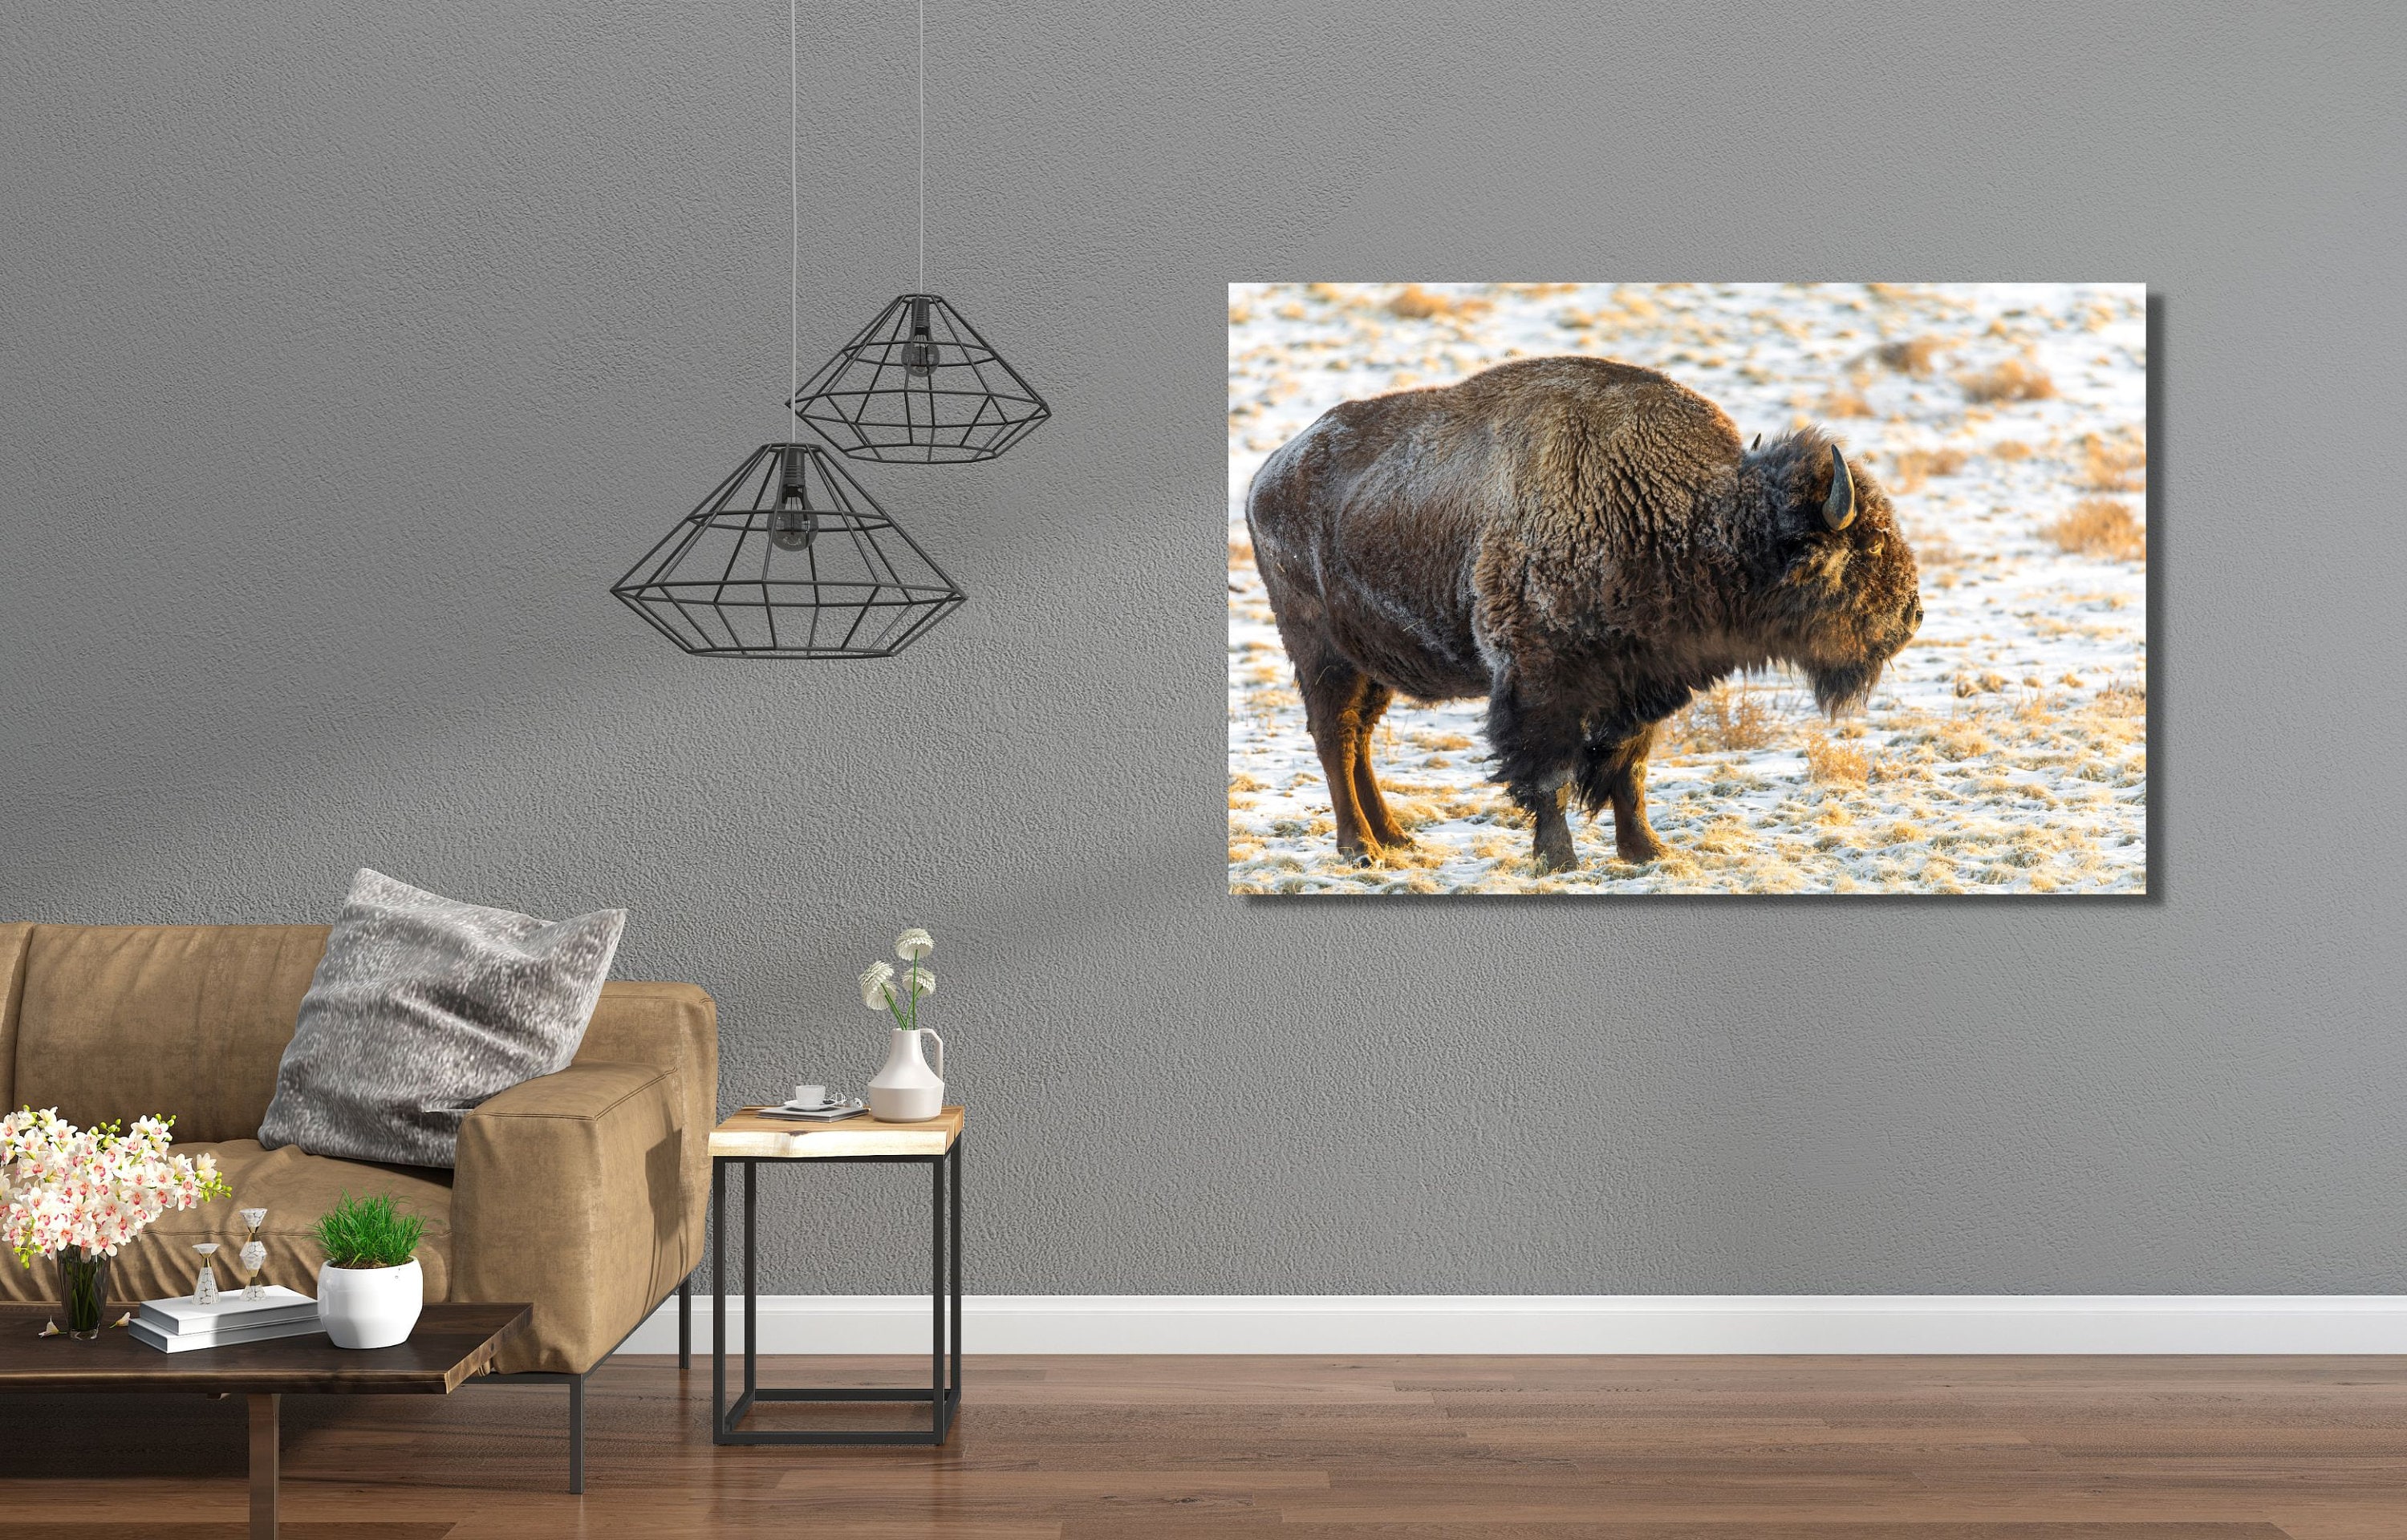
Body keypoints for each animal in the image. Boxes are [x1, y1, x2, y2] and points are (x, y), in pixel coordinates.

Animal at [1244, 357, 1922, 873]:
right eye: (1865, 550)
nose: (1912, 616)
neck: (1687, 515)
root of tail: (1265, 476)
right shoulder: (1540, 685)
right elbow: (1549, 776)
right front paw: (1560, 860)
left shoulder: (1640, 686)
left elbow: (1629, 772)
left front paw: (1647, 853)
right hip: (1321, 654)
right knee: (1335, 736)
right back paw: (1361, 847)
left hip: (1372, 664)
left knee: (1359, 738)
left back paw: (1396, 836)